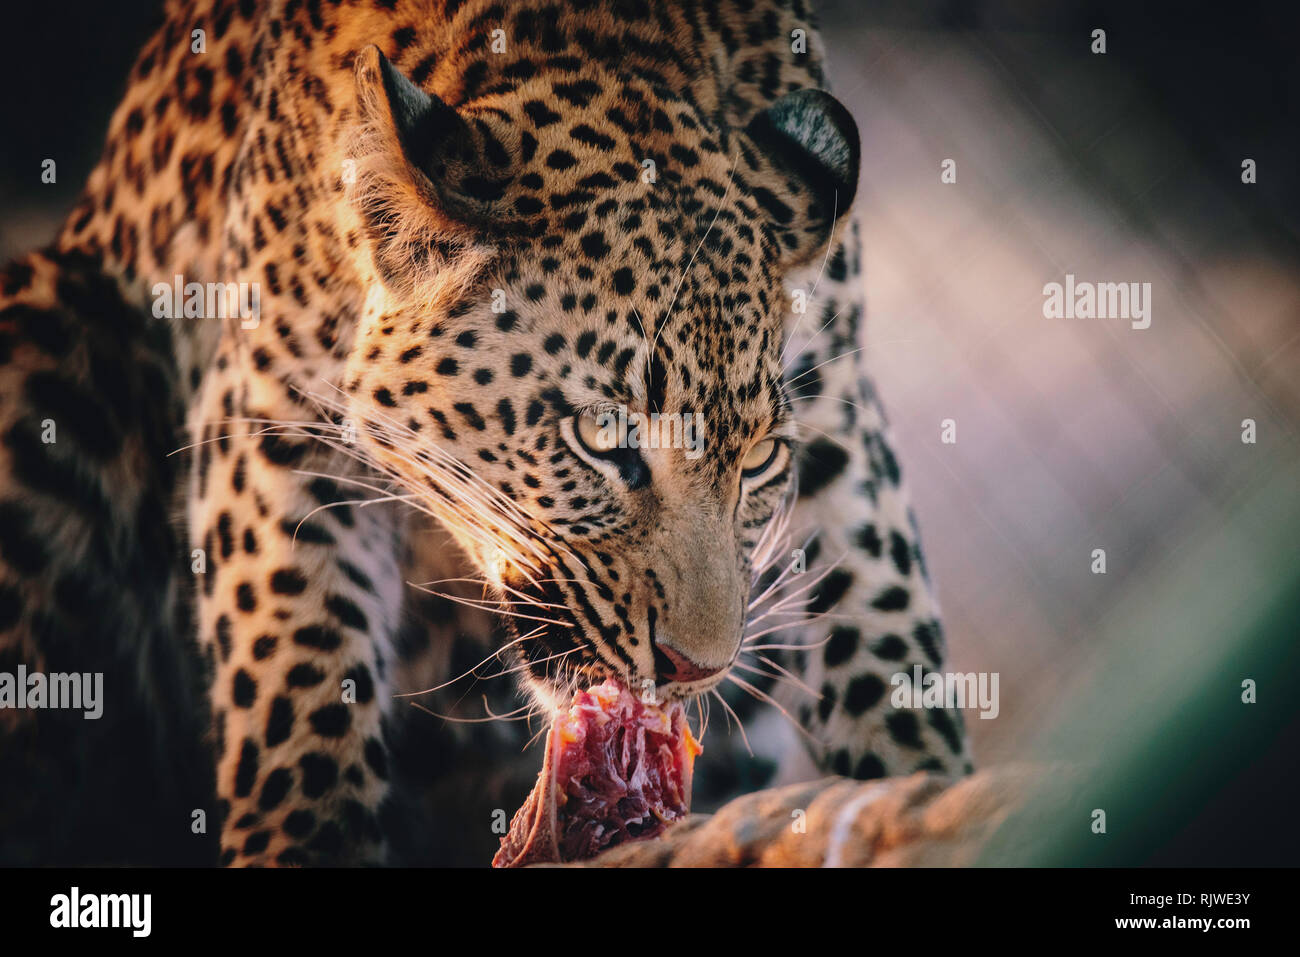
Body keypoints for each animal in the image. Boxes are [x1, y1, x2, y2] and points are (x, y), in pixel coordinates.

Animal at [0, 0, 971, 867]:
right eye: (603, 439)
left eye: (762, 459)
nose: (694, 670)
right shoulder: (270, 414)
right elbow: (298, 671)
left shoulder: (837, 399)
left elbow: (885, 627)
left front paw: (918, 780)